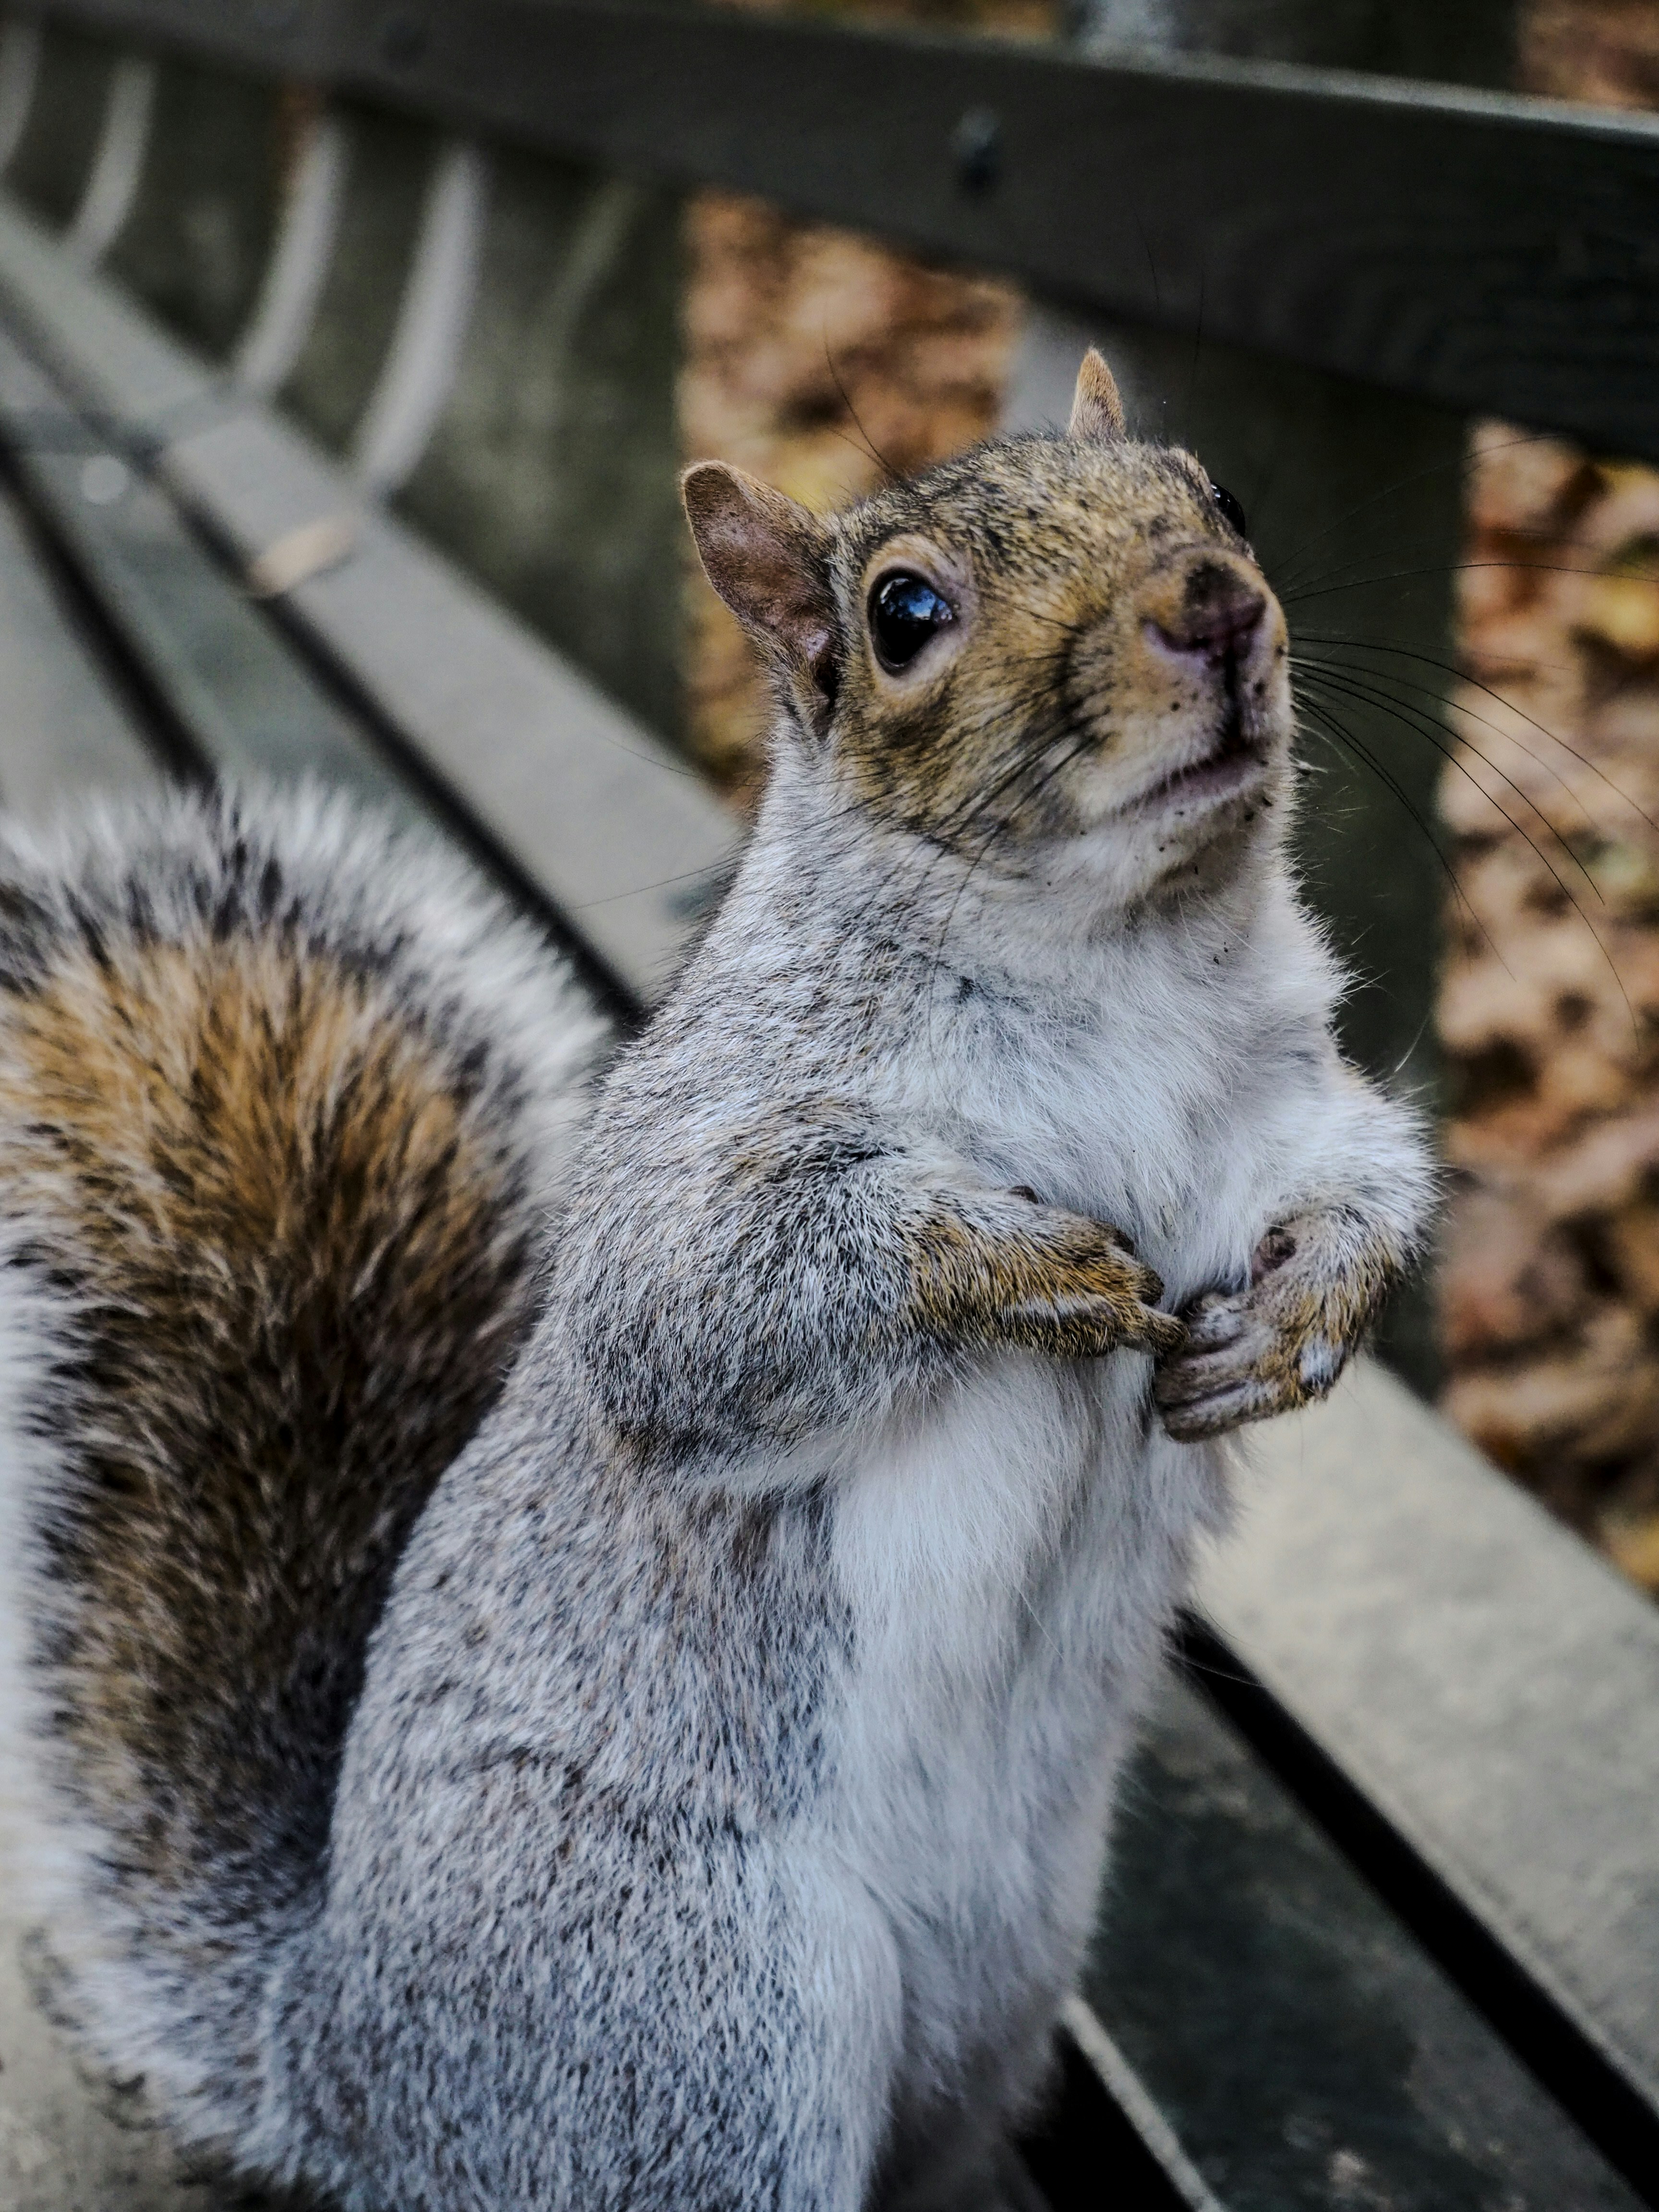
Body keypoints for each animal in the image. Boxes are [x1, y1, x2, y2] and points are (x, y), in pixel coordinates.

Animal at [0, 350, 1431, 2211]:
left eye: (1223, 498)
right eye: (904, 614)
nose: (1217, 601)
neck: (1123, 957)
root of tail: (347, 2060)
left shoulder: (1272, 1101)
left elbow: (1354, 1173)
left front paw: (1298, 1322)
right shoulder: (707, 1144)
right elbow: (702, 1310)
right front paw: (1026, 1263)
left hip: (989, 2008)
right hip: (701, 2009)